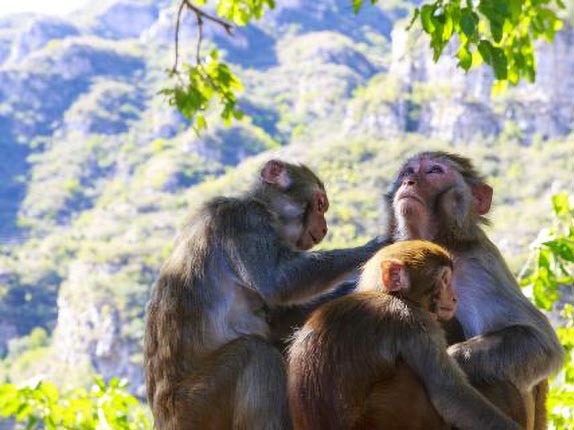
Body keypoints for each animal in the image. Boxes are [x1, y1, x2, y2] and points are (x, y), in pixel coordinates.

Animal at [144, 160, 388, 428]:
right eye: (320, 204)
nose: (324, 228)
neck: (264, 208)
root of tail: (161, 416)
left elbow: (277, 319)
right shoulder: (245, 222)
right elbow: (278, 281)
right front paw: (373, 248)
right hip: (196, 408)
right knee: (256, 355)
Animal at [384, 150, 564, 426]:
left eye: (434, 171)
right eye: (408, 172)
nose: (408, 182)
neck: (444, 242)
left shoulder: (480, 268)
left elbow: (540, 341)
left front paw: (451, 358)